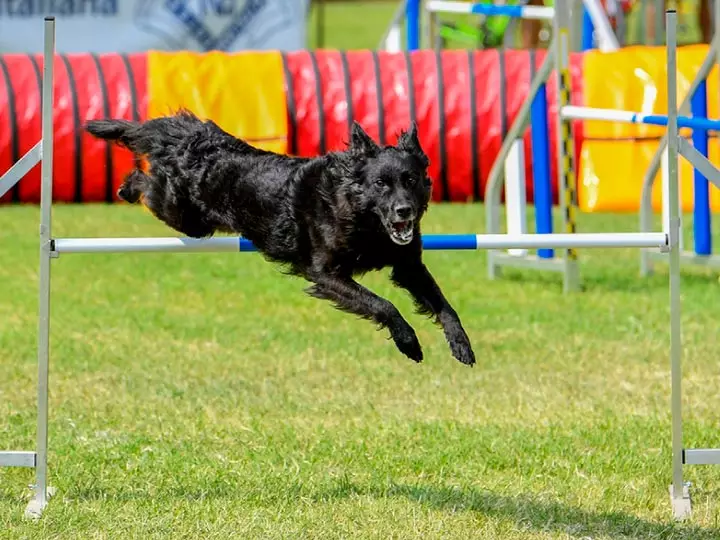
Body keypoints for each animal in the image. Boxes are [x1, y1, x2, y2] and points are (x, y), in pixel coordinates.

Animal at [84, 114, 476, 368]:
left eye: (410, 179)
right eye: (381, 183)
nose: (403, 210)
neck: (364, 218)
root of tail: (192, 136)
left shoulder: (408, 265)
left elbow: (444, 305)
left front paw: (462, 344)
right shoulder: (325, 274)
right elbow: (383, 305)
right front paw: (408, 342)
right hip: (184, 215)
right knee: (146, 181)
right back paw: (126, 186)